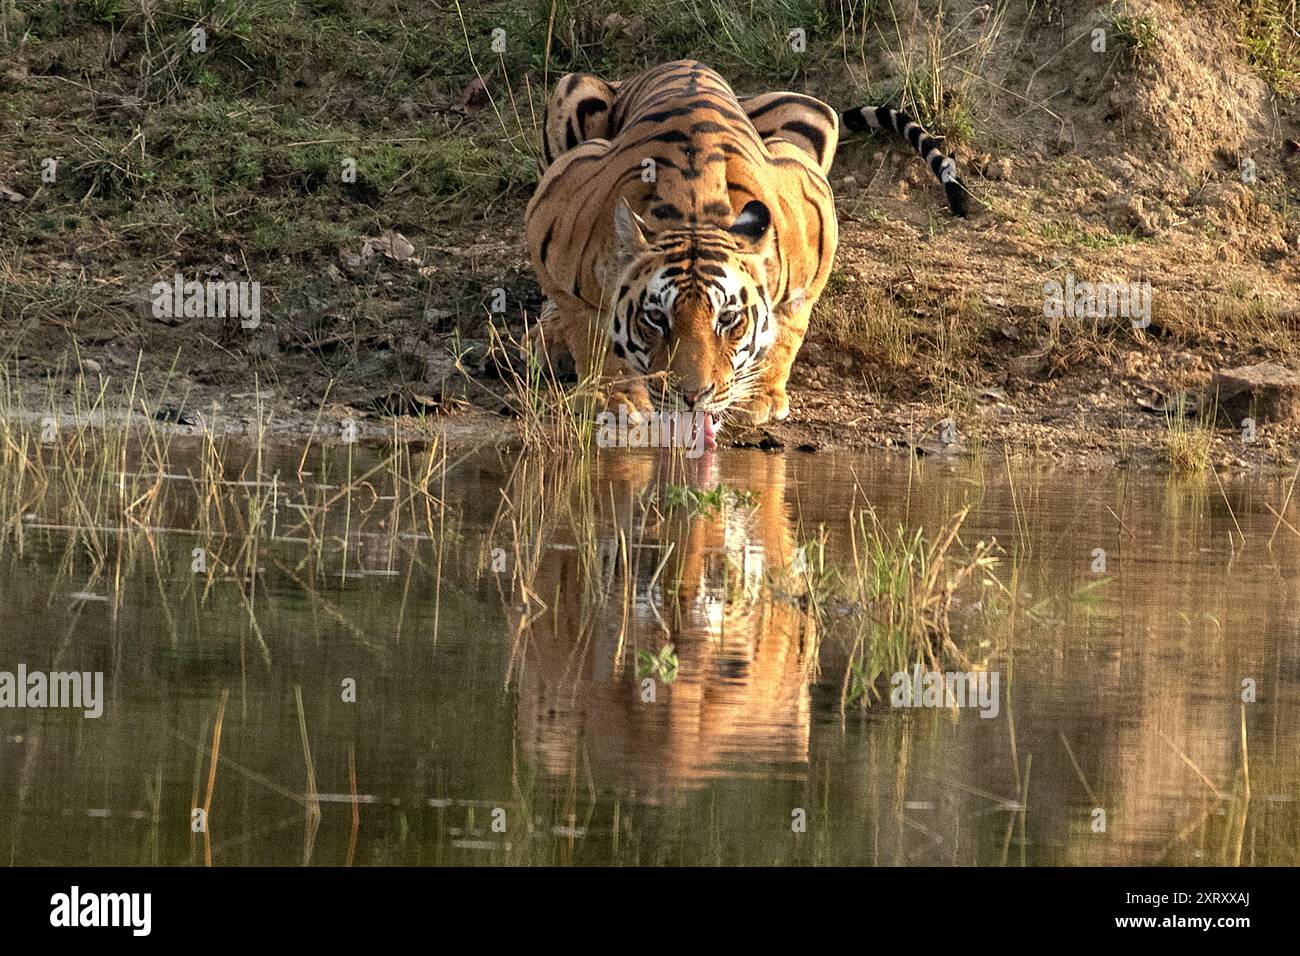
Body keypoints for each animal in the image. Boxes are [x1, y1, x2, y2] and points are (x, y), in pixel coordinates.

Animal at [525, 60, 968, 442]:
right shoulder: (553, 204)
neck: (693, 209)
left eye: (728, 319)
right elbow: (588, 329)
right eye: (656, 318)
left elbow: (789, 328)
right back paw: (547, 340)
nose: (693, 397)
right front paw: (612, 396)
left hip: (814, 113)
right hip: (573, 88)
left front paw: (760, 396)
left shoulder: (815, 216)